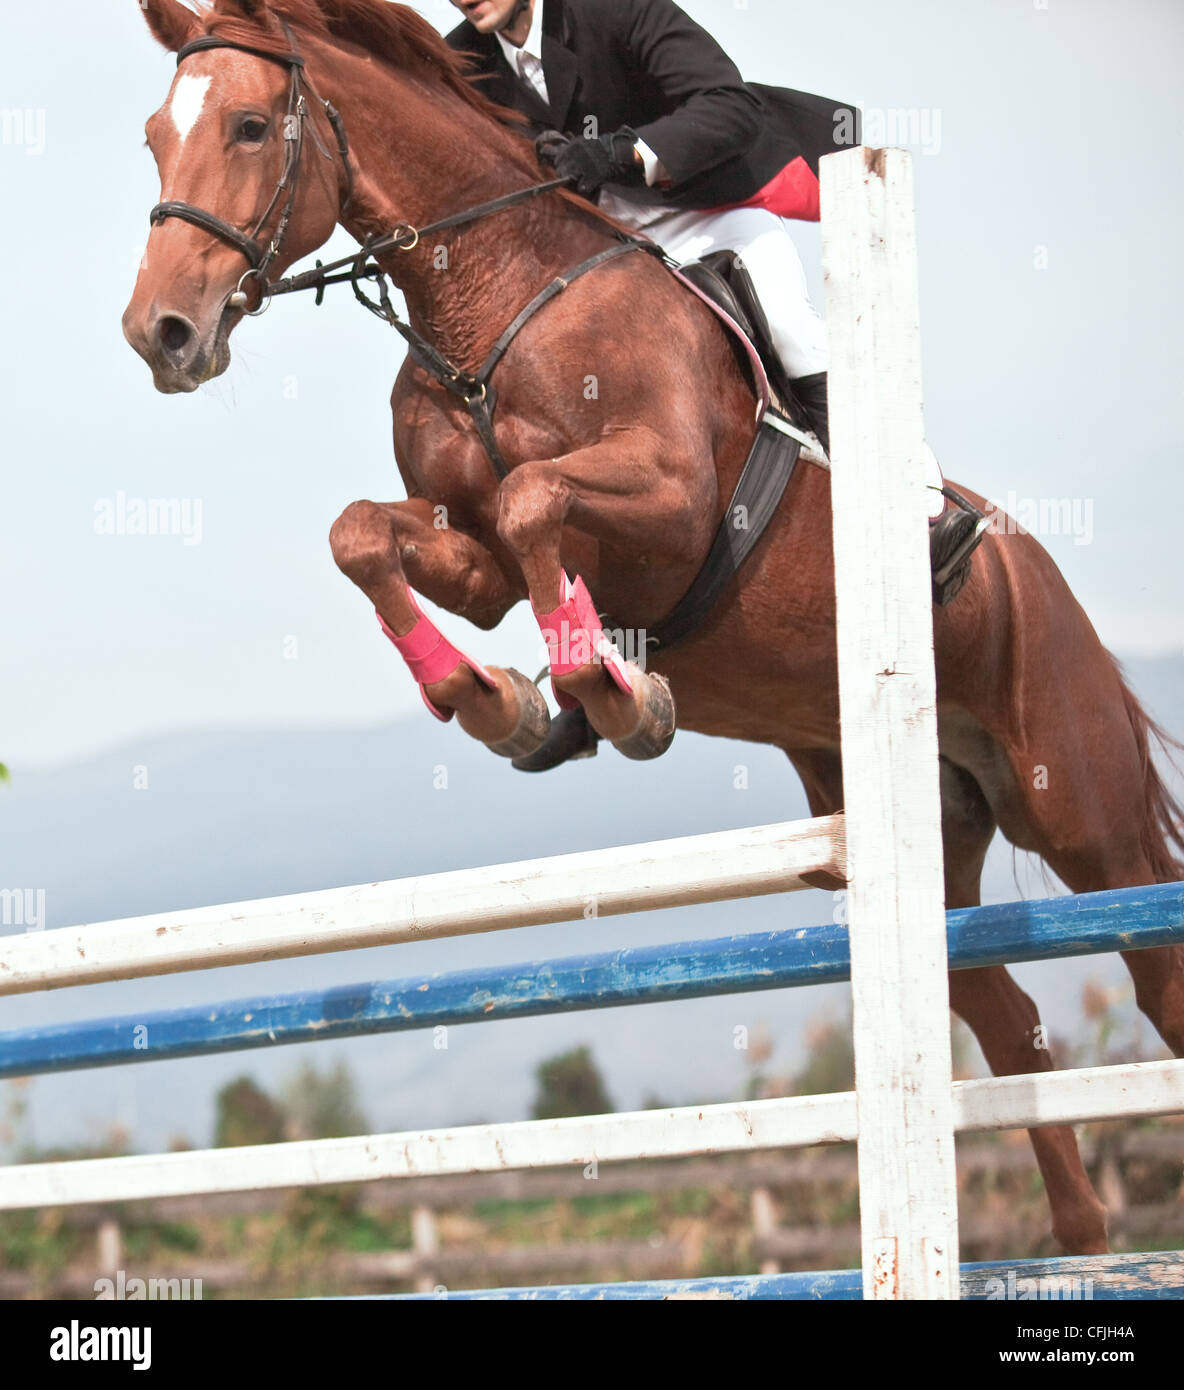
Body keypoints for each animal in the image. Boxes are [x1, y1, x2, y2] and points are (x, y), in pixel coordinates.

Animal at [123, 0, 1184, 1259]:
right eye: (153, 138)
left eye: (247, 127)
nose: (159, 333)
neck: (490, 300)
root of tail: (1040, 573)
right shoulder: (473, 565)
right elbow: (367, 536)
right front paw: (500, 702)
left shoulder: (669, 504)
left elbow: (534, 499)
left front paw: (612, 696)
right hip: (922, 822)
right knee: (1003, 1012)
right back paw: (1081, 1238)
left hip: (1077, 799)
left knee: (1152, 970)